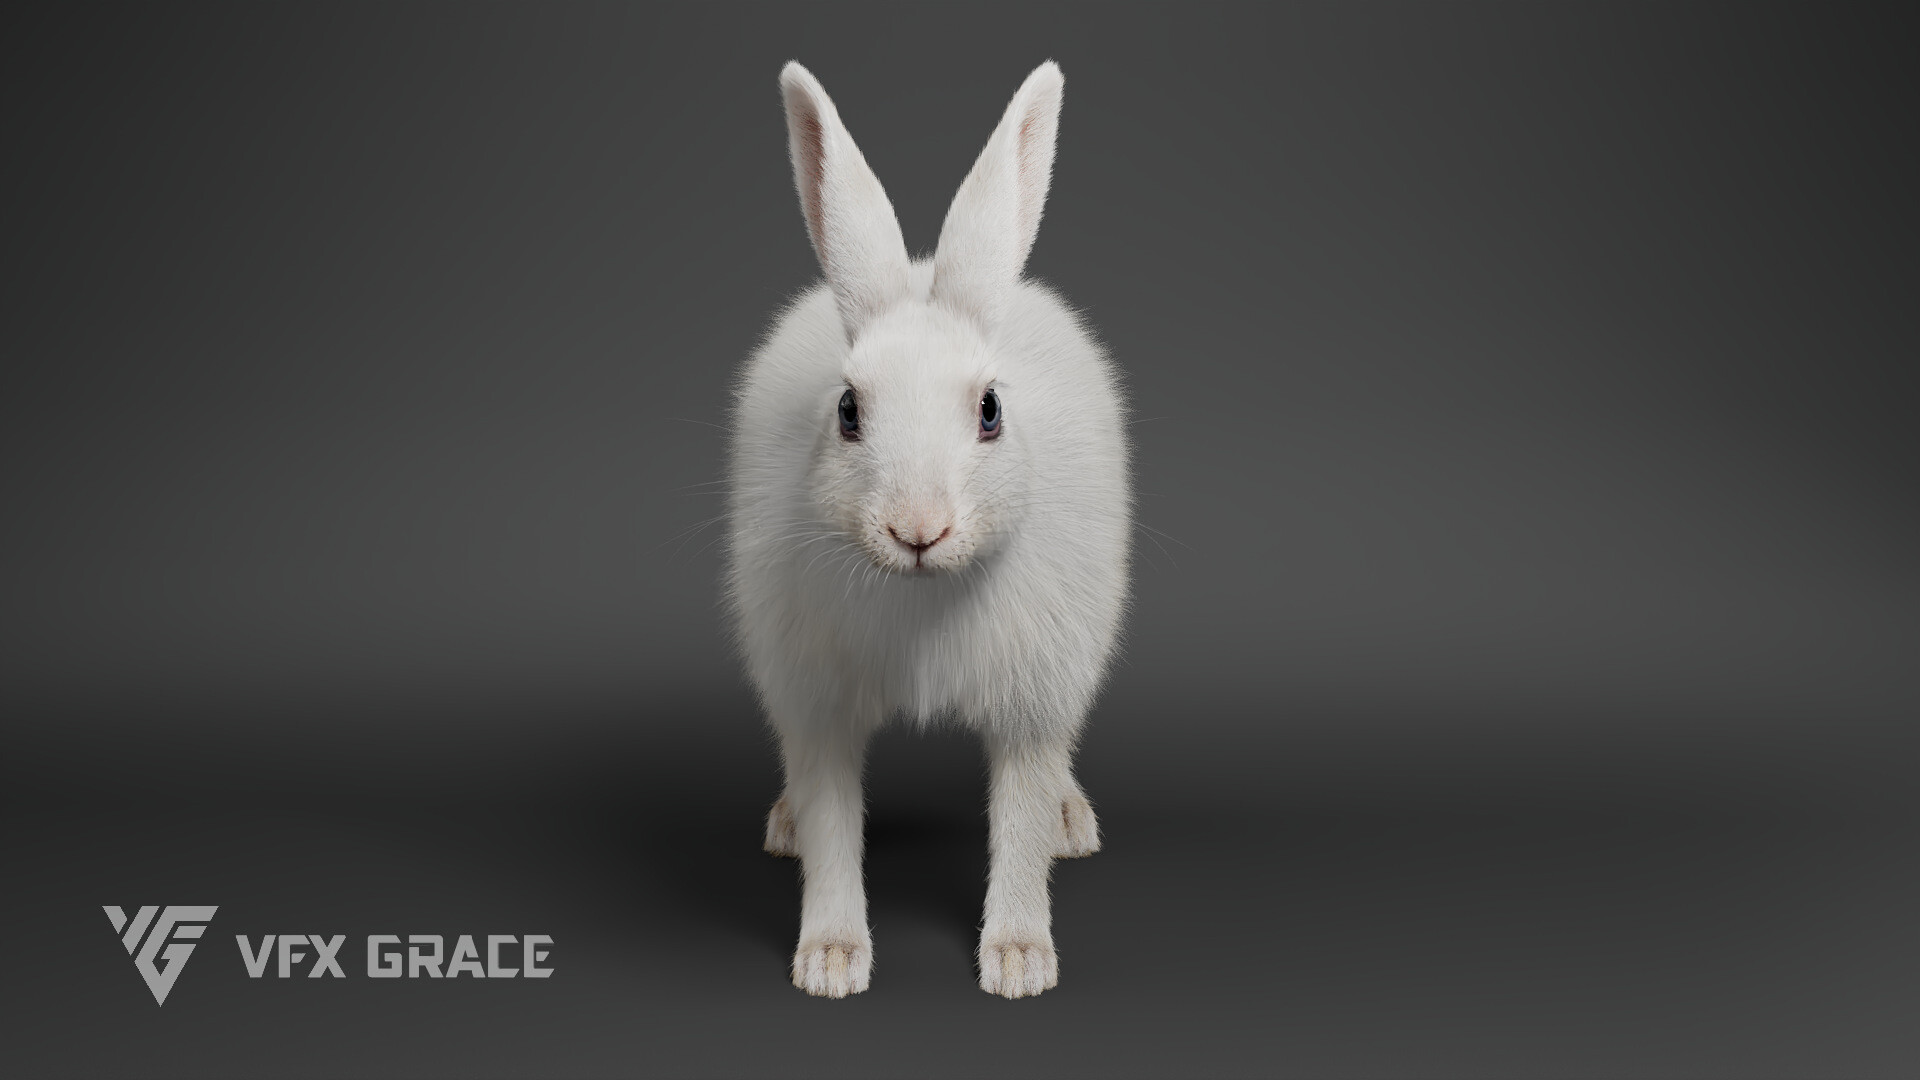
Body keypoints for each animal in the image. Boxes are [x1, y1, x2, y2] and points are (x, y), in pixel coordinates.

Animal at [724, 59, 1130, 999]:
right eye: (847, 411)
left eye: (990, 411)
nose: (918, 529)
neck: (922, 597)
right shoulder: (817, 706)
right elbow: (834, 828)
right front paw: (831, 961)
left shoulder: (1031, 704)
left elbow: (1018, 825)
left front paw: (1018, 962)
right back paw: (782, 826)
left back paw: (1072, 823)